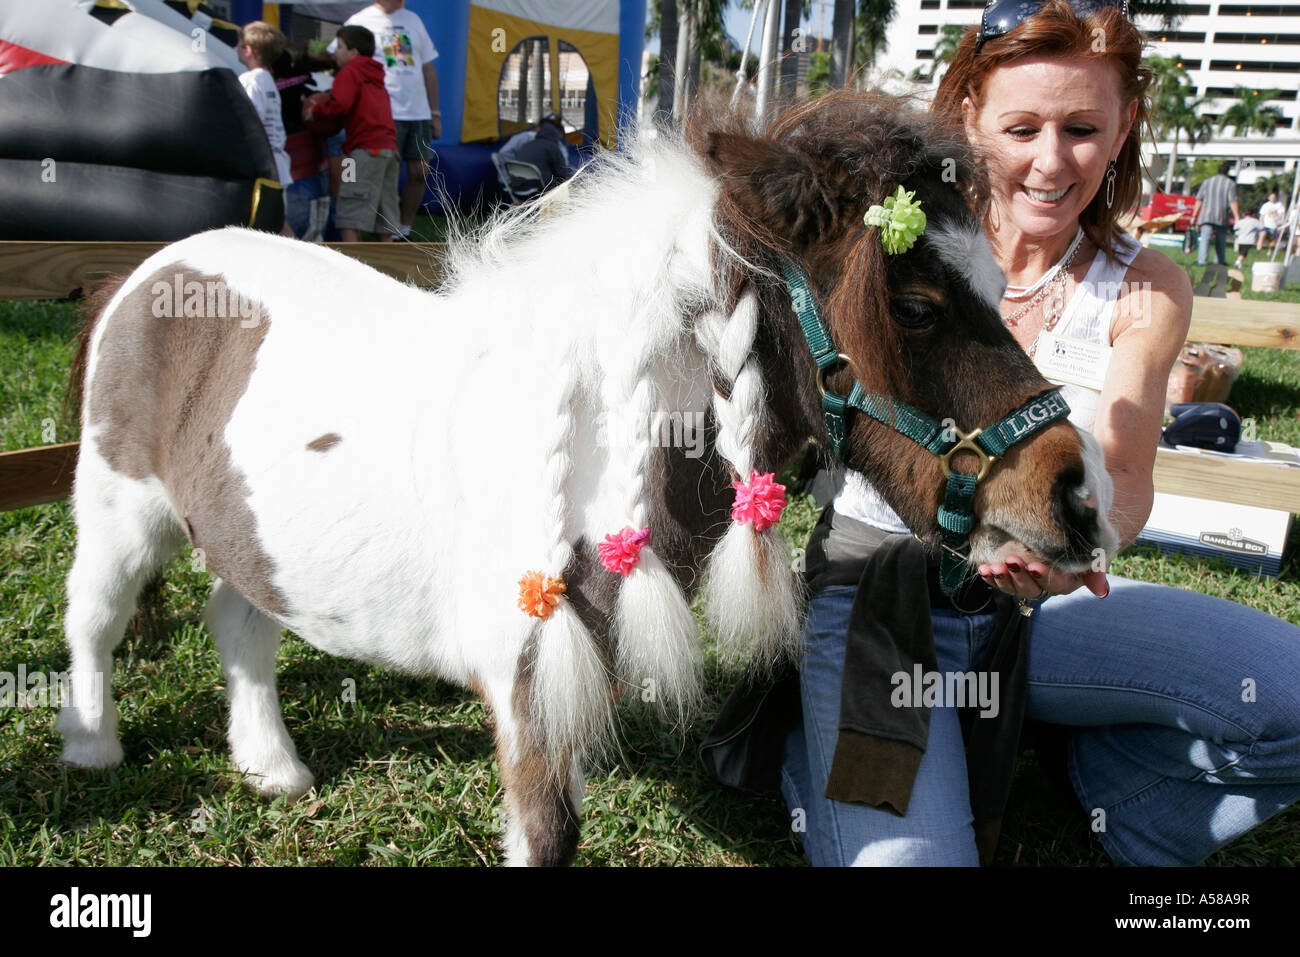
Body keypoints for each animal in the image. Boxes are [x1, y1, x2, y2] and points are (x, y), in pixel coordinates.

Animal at [58, 92, 1117, 866]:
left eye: (1002, 285)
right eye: (917, 305)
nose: (1079, 497)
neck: (587, 451)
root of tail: (145, 273)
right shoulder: (525, 689)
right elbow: (549, 834)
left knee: (242, 621)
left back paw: (274, 767)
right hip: (119, 513)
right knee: (96, 617)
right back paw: (92, 746)